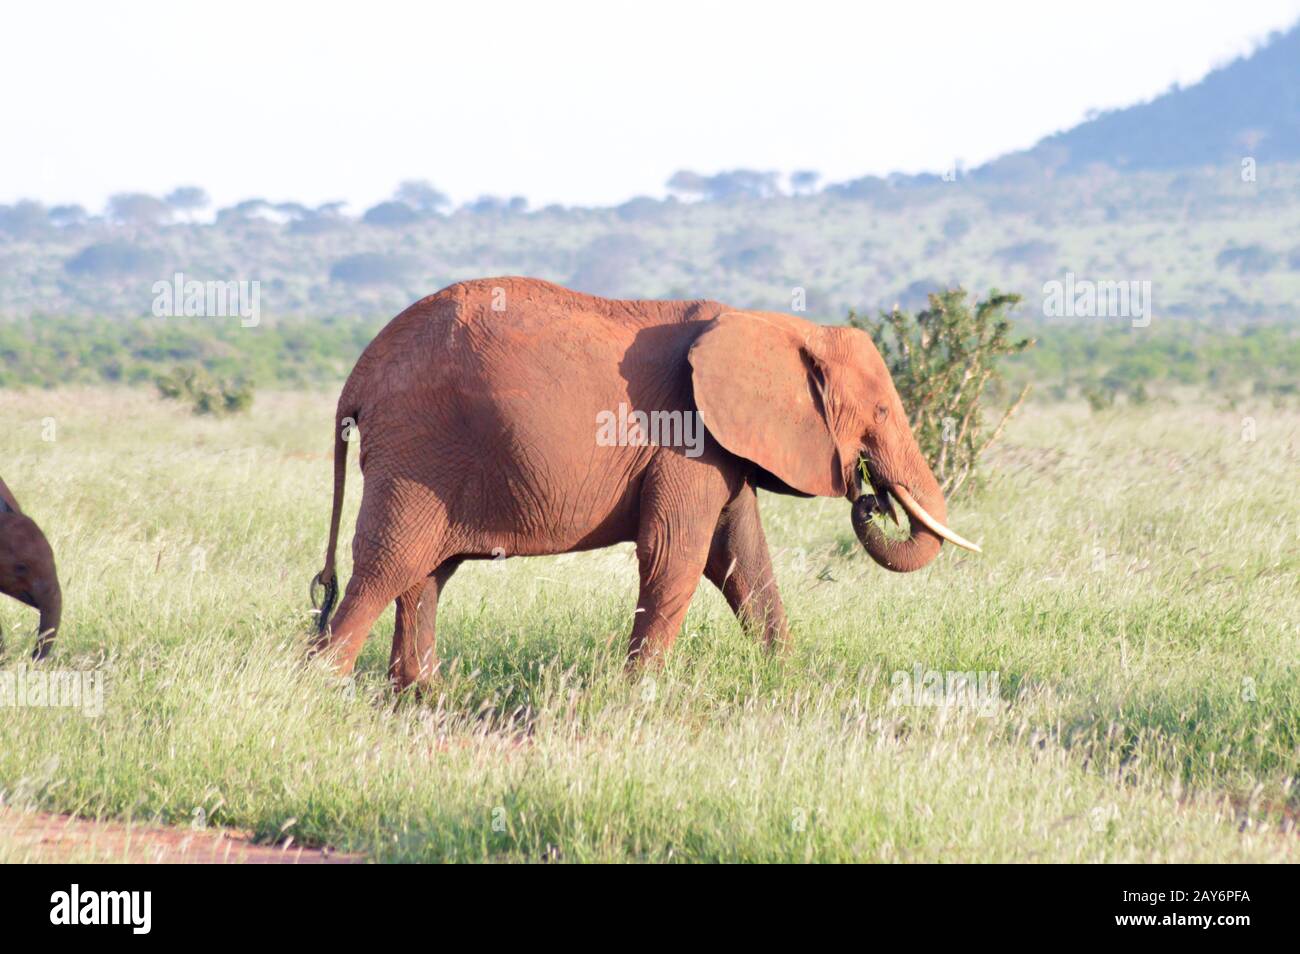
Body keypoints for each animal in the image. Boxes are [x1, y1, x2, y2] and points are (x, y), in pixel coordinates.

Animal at [310, 277, 979, 690]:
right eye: (884, 412)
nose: (870, 499)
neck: (776, 325)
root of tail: (358, 376)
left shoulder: (718, 446)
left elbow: (742, 558)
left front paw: (789, 679)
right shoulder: (685, 438)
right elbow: (677, 556)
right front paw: (640, 695)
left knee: (425, 574)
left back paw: (423, 698)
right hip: (418, 451)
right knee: (388, 565)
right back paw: (323, 688)